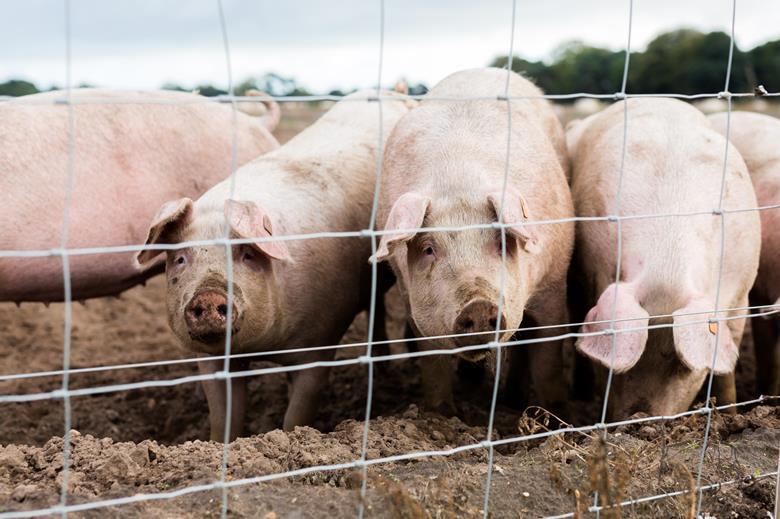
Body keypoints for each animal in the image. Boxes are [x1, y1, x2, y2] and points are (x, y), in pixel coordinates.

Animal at [135, 91, 413, 440]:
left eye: (248, 255)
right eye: (182, 258)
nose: (208, 295)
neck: (262, 349)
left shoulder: (319, 344)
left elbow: (297, 413)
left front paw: (291, 436)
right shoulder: (209, 360)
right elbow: (223, 417)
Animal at [373, 68, 575, 415]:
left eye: (503, 244)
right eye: (429, 249)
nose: (478, 304)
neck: (458, 182)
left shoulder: (554, 283)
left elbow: (547, 359)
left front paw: (557, 417)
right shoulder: (411, 298)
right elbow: (434, 367)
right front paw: (441, 415)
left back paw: (512, 400)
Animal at [567, 98, 760, 419]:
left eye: (681, 366)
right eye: (626, 367)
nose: (641, 420)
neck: (668, 264)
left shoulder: (741, 293)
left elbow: (727, 364)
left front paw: (731, 414)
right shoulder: (595, 272)